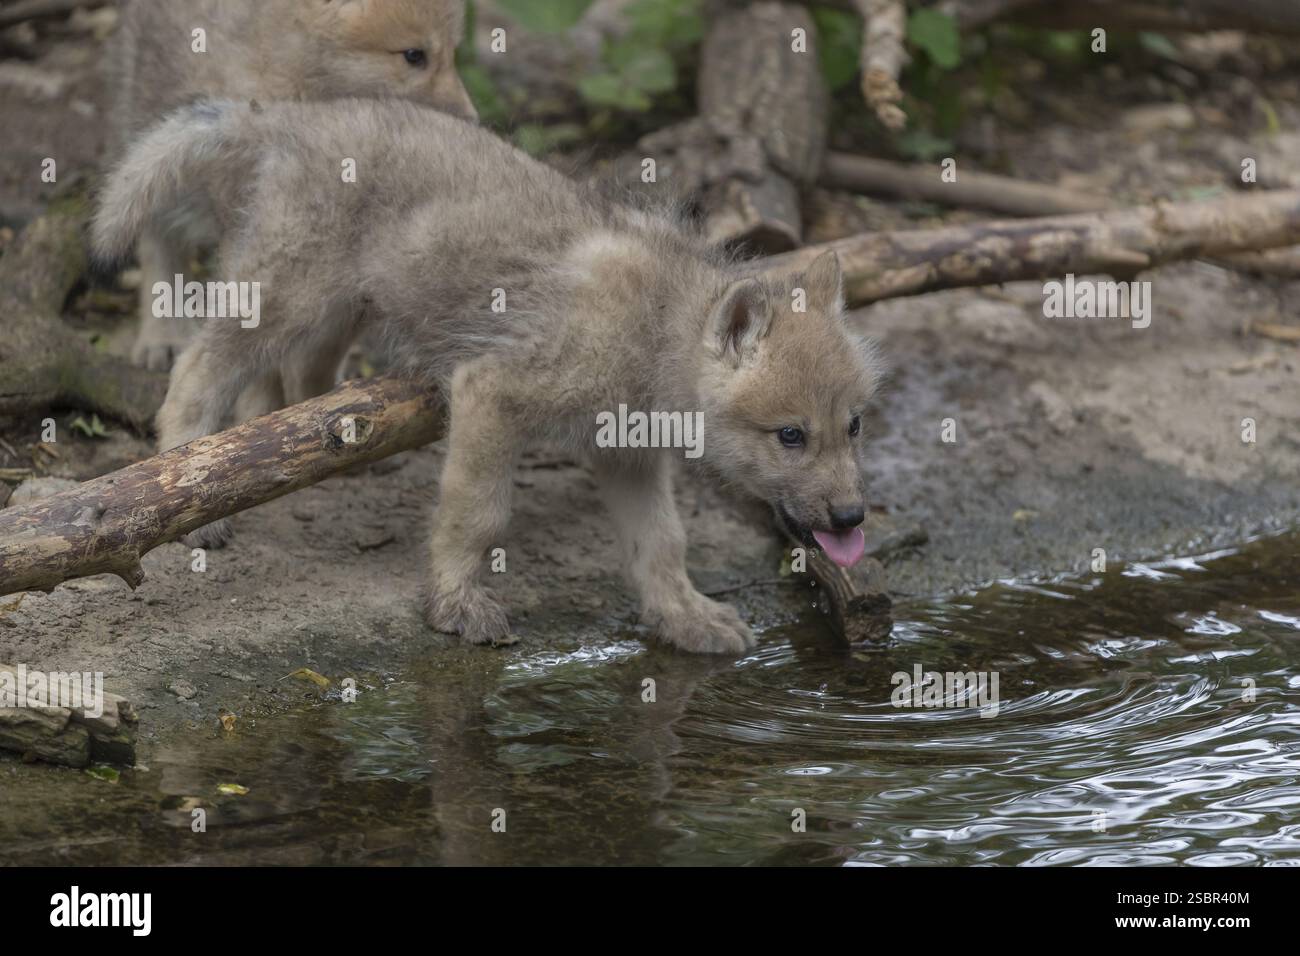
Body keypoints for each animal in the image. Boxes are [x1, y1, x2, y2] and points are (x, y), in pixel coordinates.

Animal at [93, 99, 881, 655]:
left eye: (854, 426)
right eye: (789, 436)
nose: (852, 518)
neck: (657, 329)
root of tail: (283, 116)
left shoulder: (626, 454)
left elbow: (662, 544)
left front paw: (685, 620)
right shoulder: (491, 392)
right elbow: (476, 514)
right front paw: (454, 607)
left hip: (343, 302)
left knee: (300, 373)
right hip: (287, 292)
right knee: (199, 366)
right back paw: (191, 493)